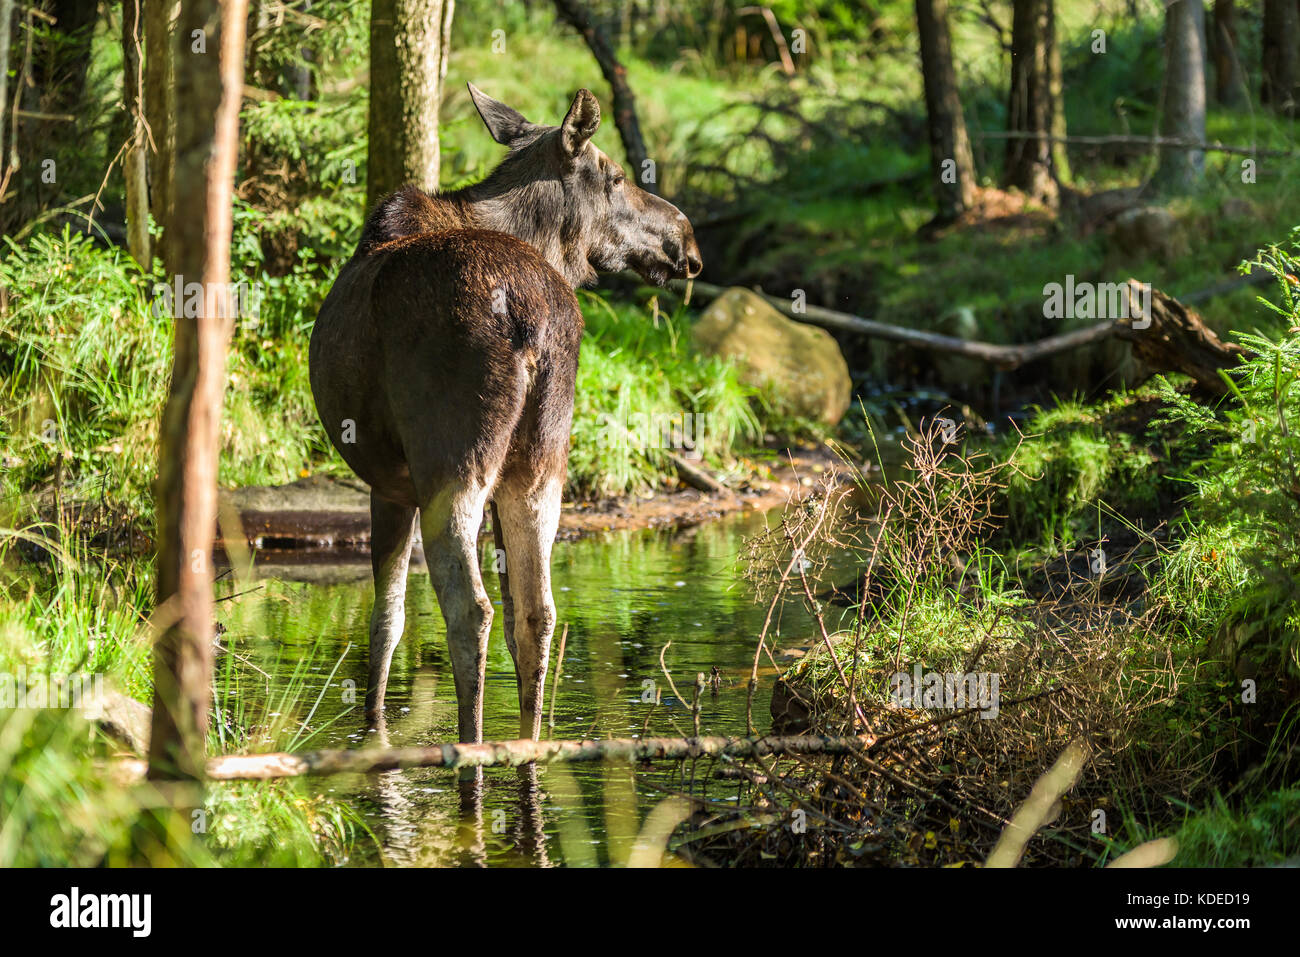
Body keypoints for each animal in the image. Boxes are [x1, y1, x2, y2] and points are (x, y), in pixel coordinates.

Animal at [309, 84, 702, 749]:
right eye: (617, 177)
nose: (689, 241)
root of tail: (527, 319)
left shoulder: (390, 484)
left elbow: (386, 619)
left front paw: (374, 730)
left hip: (452, 464)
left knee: (470, 609)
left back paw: (469, 749)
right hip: (541, 464)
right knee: (537, 612)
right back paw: (526, 746)